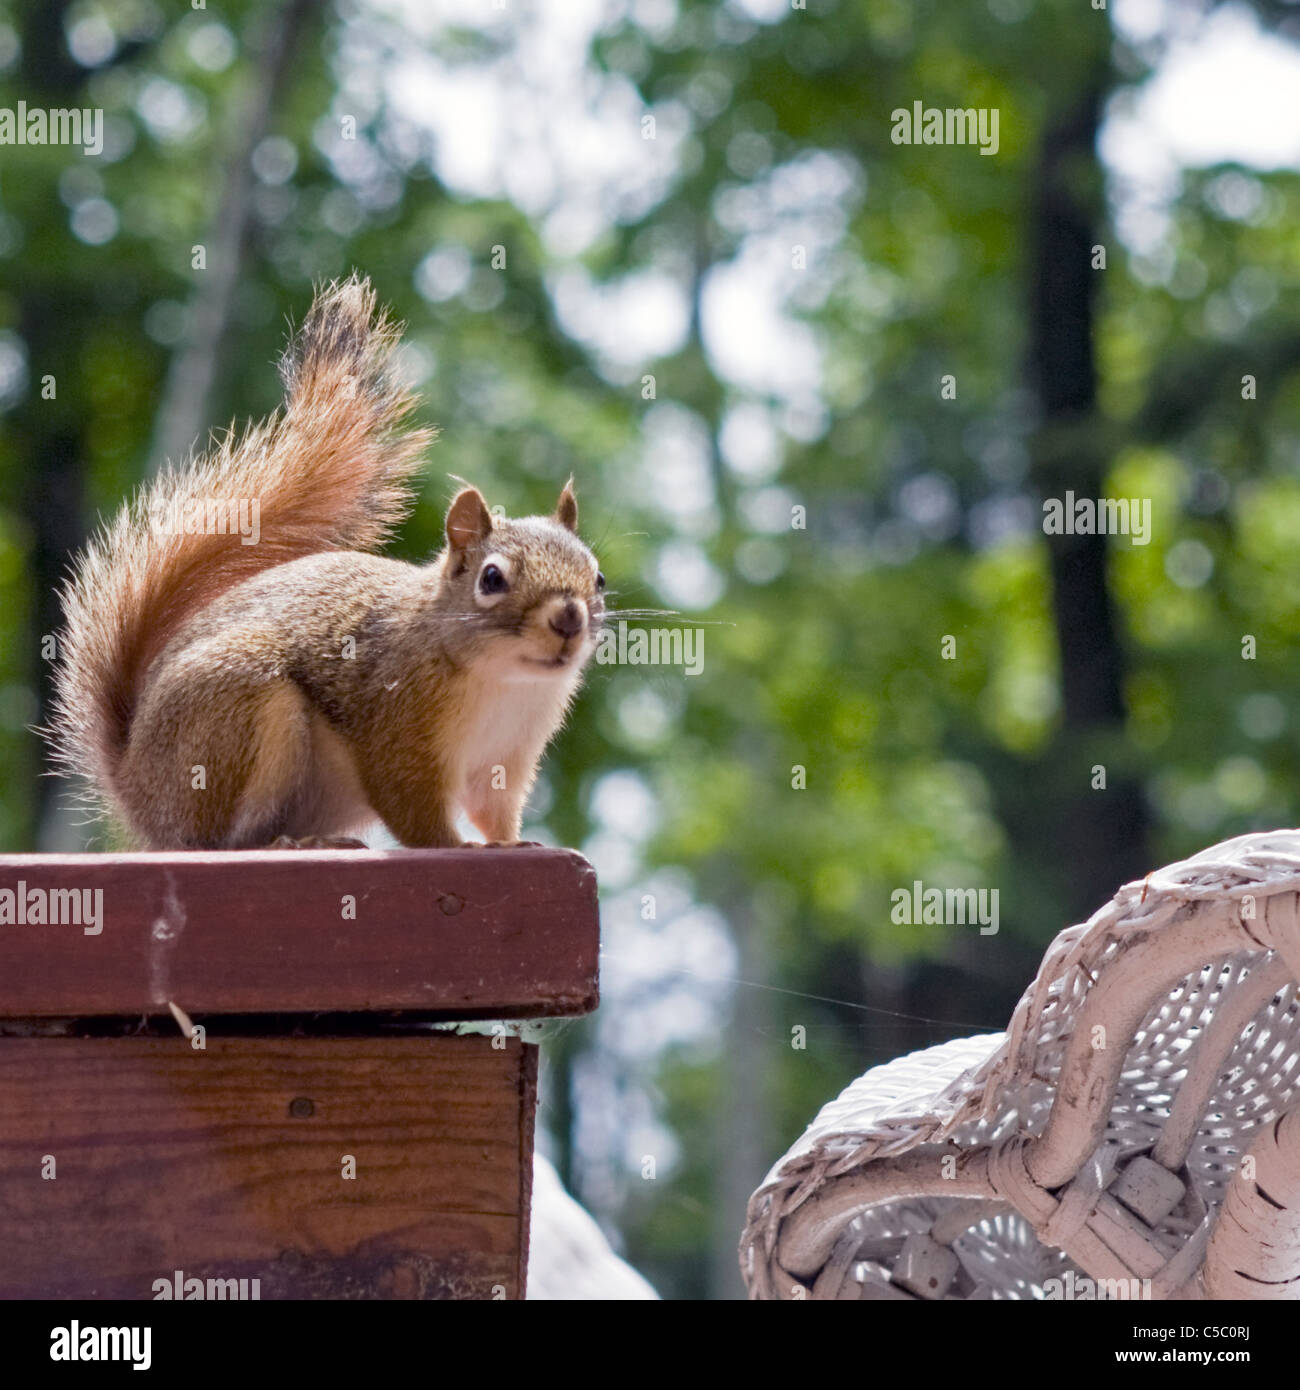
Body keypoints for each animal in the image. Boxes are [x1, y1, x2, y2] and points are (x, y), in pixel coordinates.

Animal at [46, 274, 605, 850]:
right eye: (492, 578)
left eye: (599, 578)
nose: (568, 618)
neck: (506, 681)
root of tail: (136, 787)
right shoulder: (397, 728)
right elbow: (413, 810)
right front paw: (455, 847)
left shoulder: (507, 759)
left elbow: (494, 809)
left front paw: (512, 842)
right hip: (234, 710)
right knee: (212, 841)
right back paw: (286, 844)